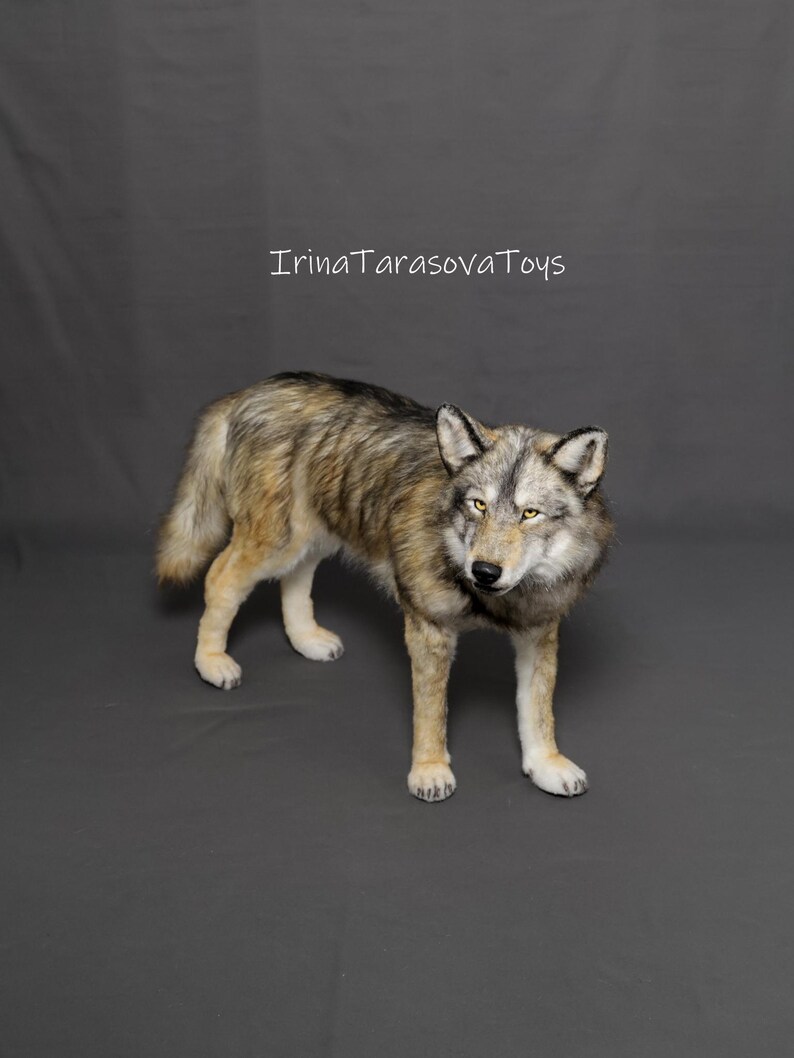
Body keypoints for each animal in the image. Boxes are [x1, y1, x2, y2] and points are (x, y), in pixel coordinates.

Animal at [157, 372, 613, 802]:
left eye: (529, 514)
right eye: (479, 505)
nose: (484, 570)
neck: (499, 601)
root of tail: (250, 391)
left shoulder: (539, 634)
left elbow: (537, 711)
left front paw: (546, 765)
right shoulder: (429, 632)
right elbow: (431, 714)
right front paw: (429, 771)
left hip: (315, 537)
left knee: (295, 579)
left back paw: (306, 640)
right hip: (276, 543)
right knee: (219, 578)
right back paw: (211, 662)